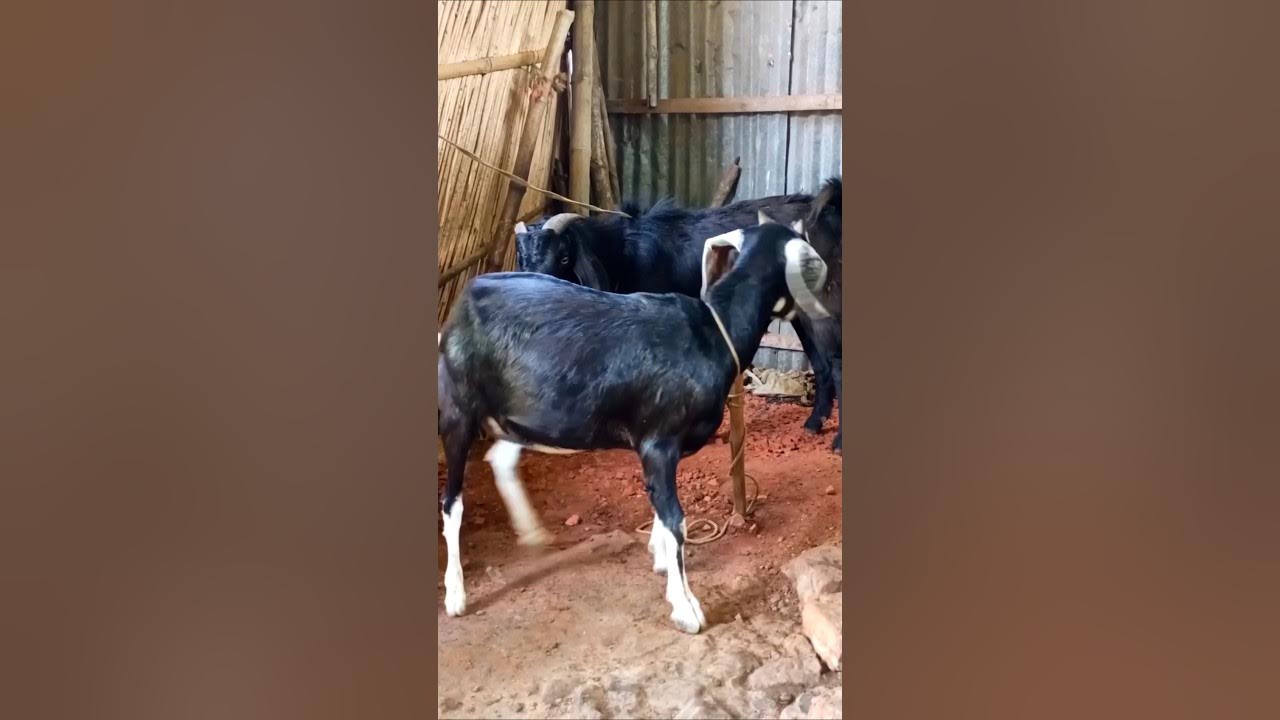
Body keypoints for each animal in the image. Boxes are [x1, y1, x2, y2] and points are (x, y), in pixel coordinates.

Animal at [437, 215, 832, 634]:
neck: (713, 329)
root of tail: (467, 296)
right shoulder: (659, 441)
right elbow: (675, 519)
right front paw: (686, 607)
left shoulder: (659, 448)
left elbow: (662, 510)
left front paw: (660, 559)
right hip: (458, 410)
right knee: (452, 502)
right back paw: (456, 594)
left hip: (526, 414)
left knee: (499, 458)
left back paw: (533, 532)